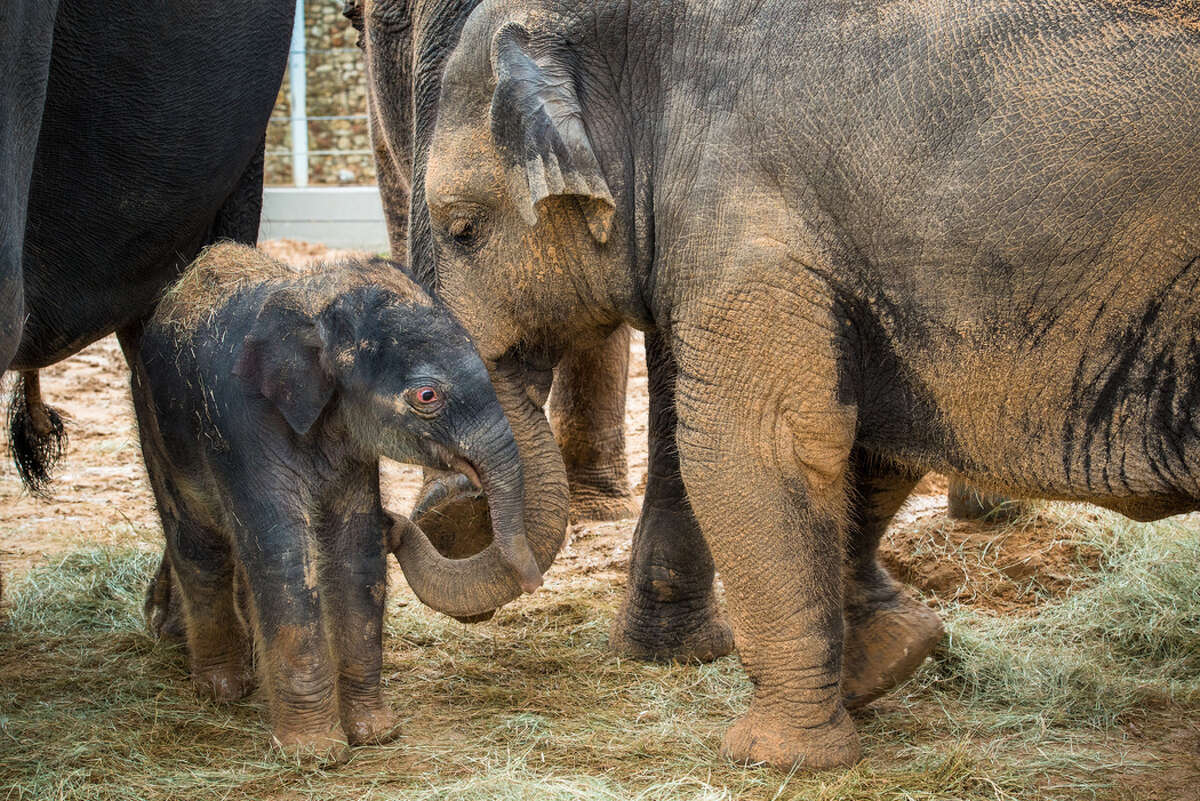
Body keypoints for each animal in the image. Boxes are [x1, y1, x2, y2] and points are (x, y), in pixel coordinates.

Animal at [126, 243, 541, 762]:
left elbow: (356, 550)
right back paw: (223, 689)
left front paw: (375, 734)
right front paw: (316, 755)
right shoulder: (243, 426)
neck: (314, 303)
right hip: (155, 425)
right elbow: (284, 557)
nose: (394, 521)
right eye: (427, 395)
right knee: (199, 544)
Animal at [357, 0, 1200, 771]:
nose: (401, 522)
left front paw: (774, 754)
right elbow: (866, 436)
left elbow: (758, 445)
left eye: (464, 229)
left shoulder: (745, 230)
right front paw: (892, 659)